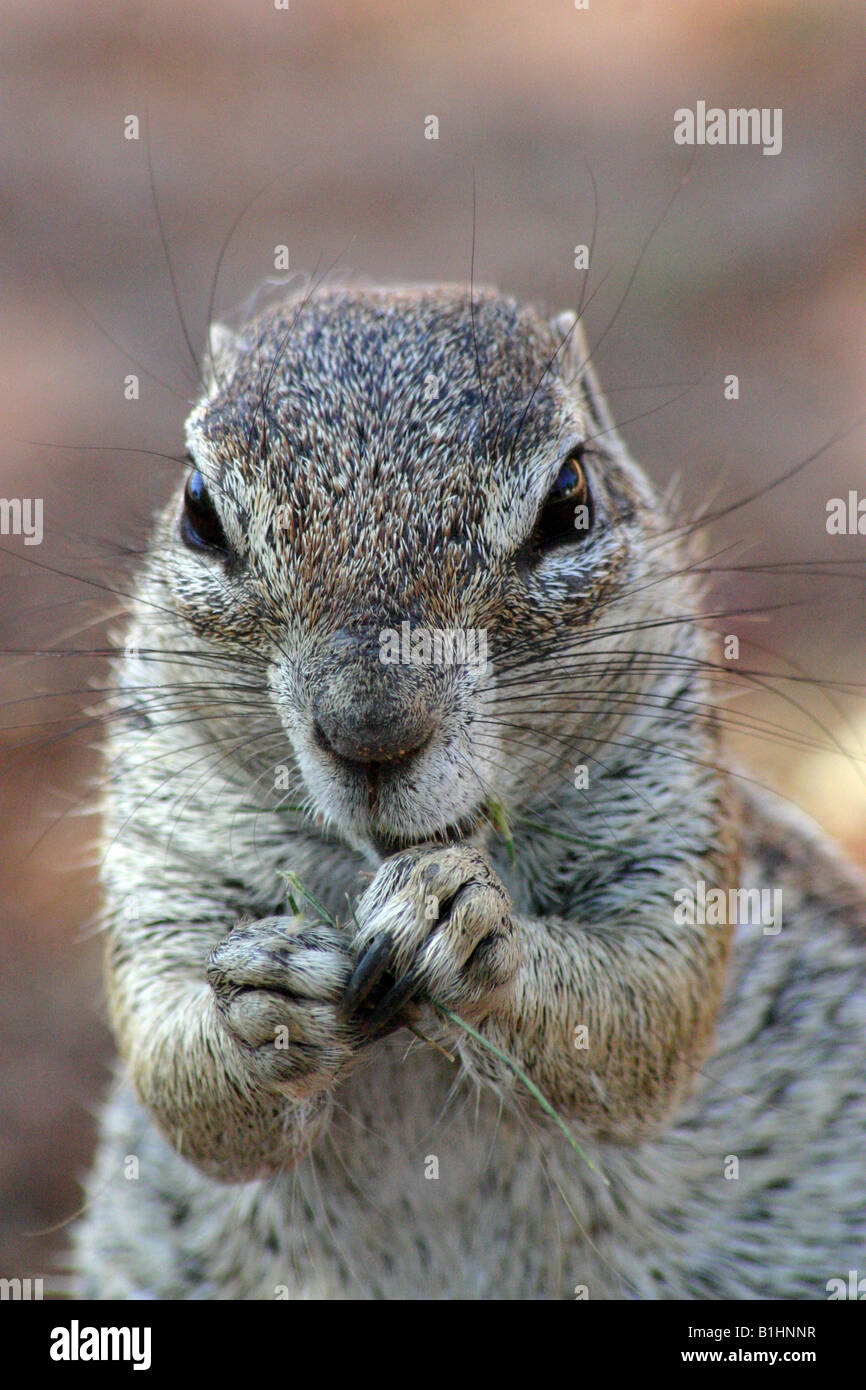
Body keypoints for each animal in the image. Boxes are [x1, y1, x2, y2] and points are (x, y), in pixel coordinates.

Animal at [73, 283, 866, 1299]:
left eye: (570, 498)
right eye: (199, 510)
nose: (370, 731)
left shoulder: (665, 804)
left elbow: (650, 1010)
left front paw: (462, 924)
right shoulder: (168, 823)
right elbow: (172, 1065)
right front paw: (261, 994)